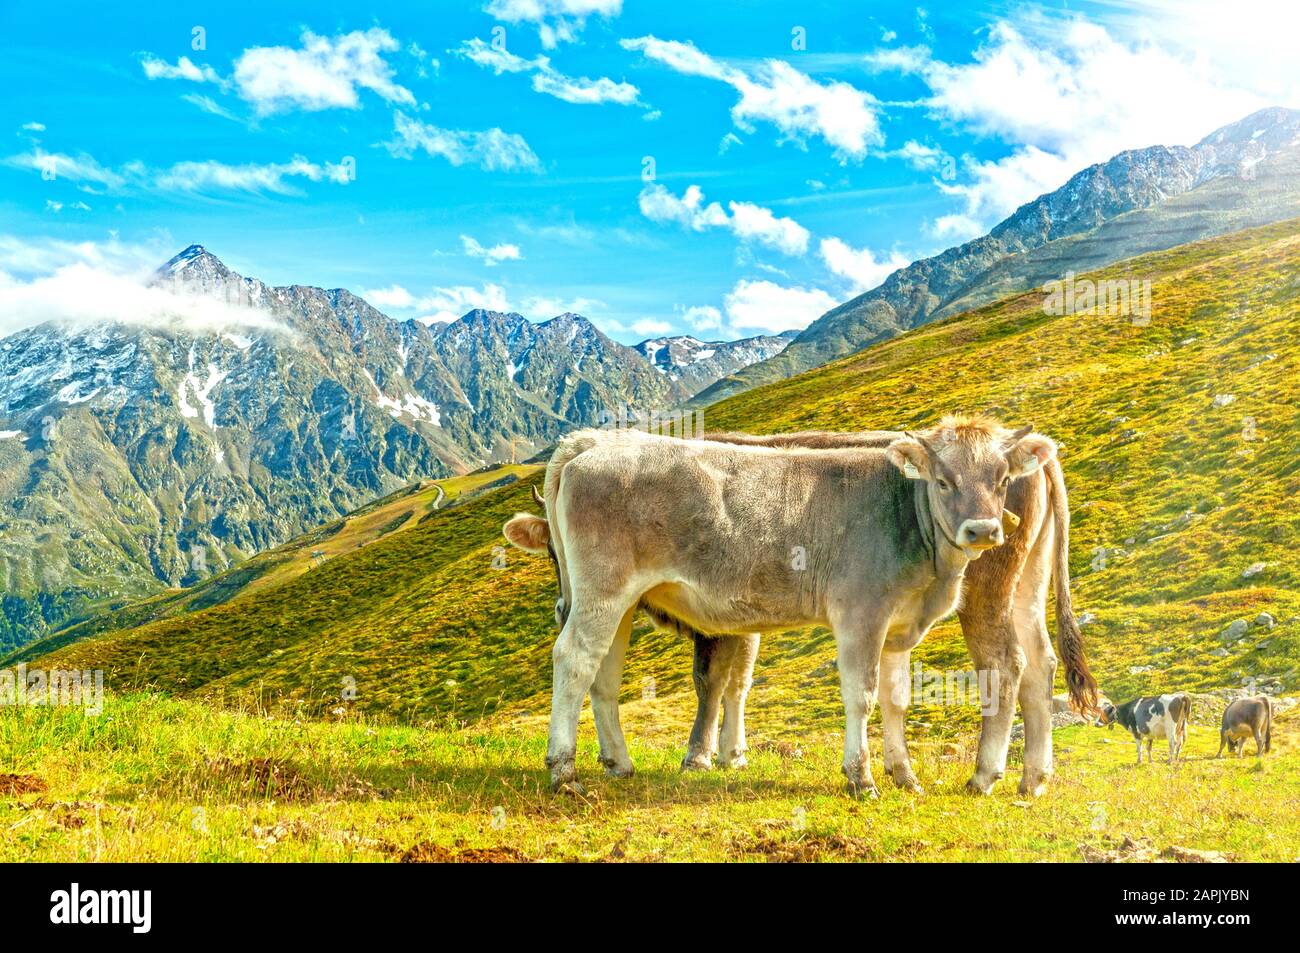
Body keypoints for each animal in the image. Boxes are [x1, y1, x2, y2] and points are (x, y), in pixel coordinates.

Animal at [506, 423, 1096, 797]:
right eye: (943, 480)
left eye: (1000, 481)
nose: (984, 530)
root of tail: (593, 443)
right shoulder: (859, 614)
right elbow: (859, 695)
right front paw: (862, 778)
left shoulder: (897, 622)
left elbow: (895, 698)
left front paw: (904, 776)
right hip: (603, 591)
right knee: (576, 660)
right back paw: (564, 772)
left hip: (616, 599)